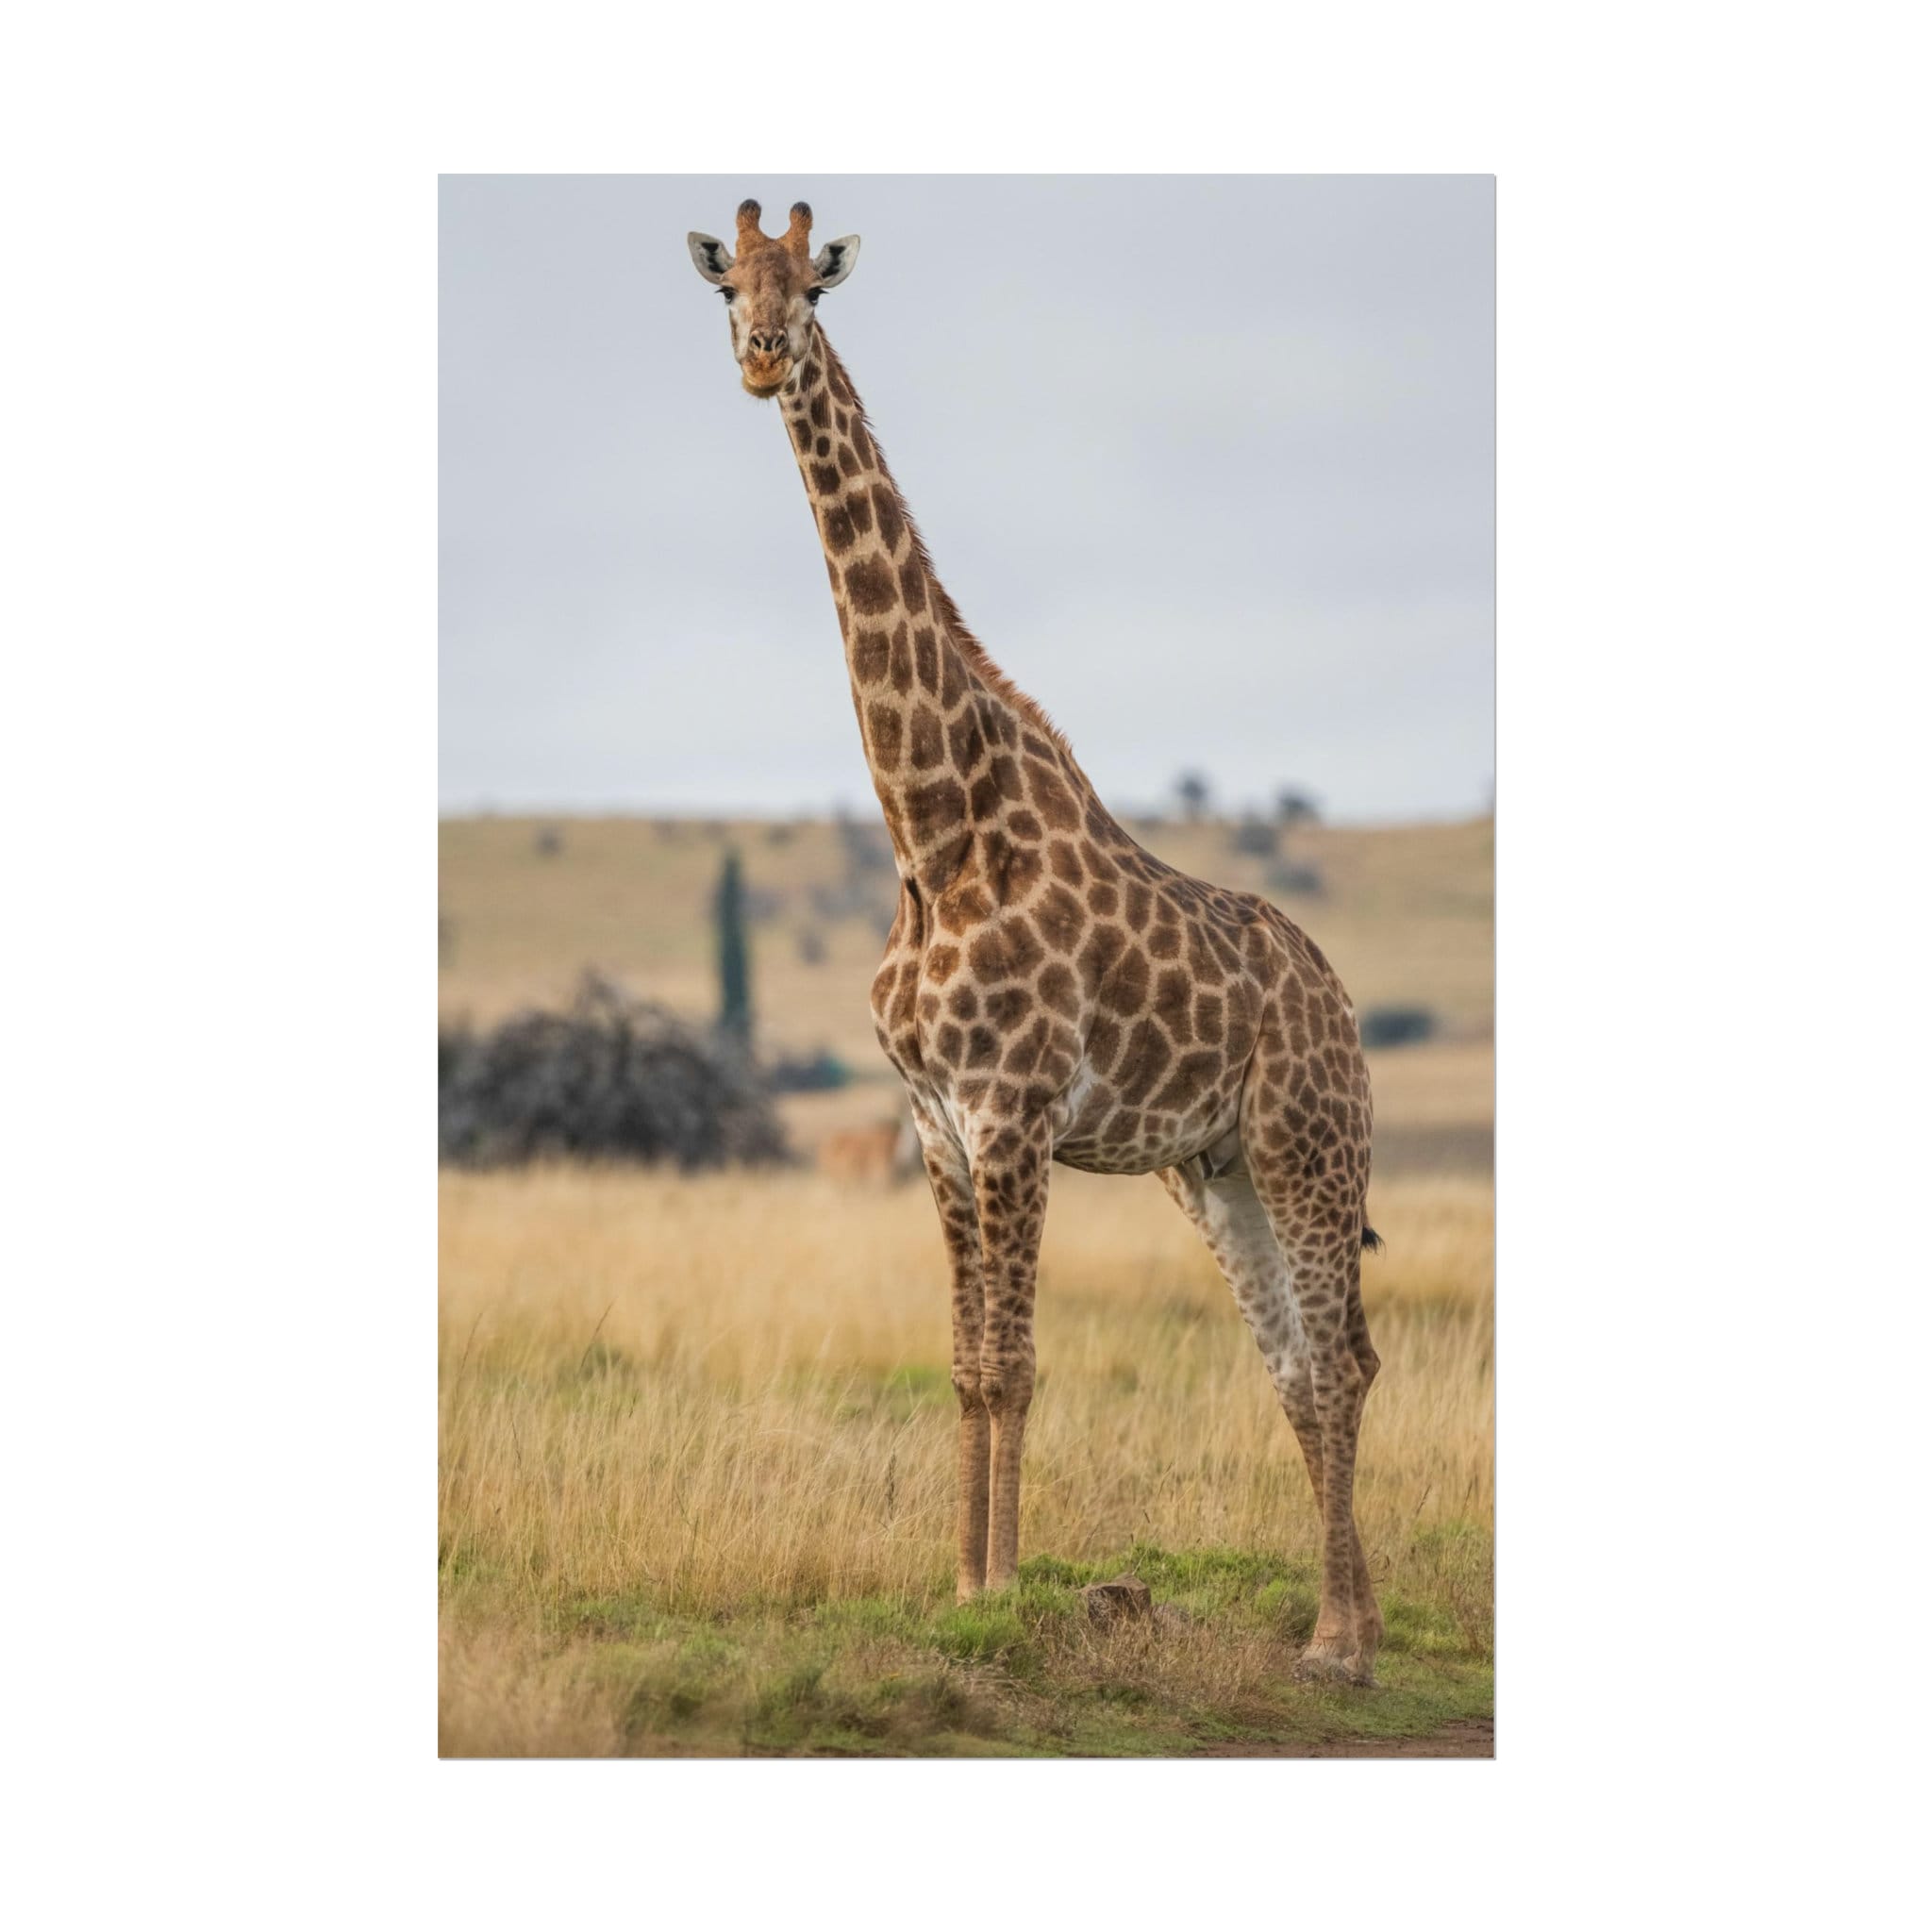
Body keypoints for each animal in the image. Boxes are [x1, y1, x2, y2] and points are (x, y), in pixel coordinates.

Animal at [687, 200, 1385, 1683]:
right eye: (727, 291)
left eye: (810, 289)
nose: (764, 358)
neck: (932, 825)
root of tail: (1342, 1004)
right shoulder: (936, 1122)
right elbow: (965, 1364)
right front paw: (962, 1585)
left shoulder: (1011, 1109)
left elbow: (1012, 1362)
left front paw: (1005, 1594)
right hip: (1214, 1172)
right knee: (1299, 1366)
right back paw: (1333, 1627)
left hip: (1309, 1148)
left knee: (1345, 1358)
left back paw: (1344, 1644)